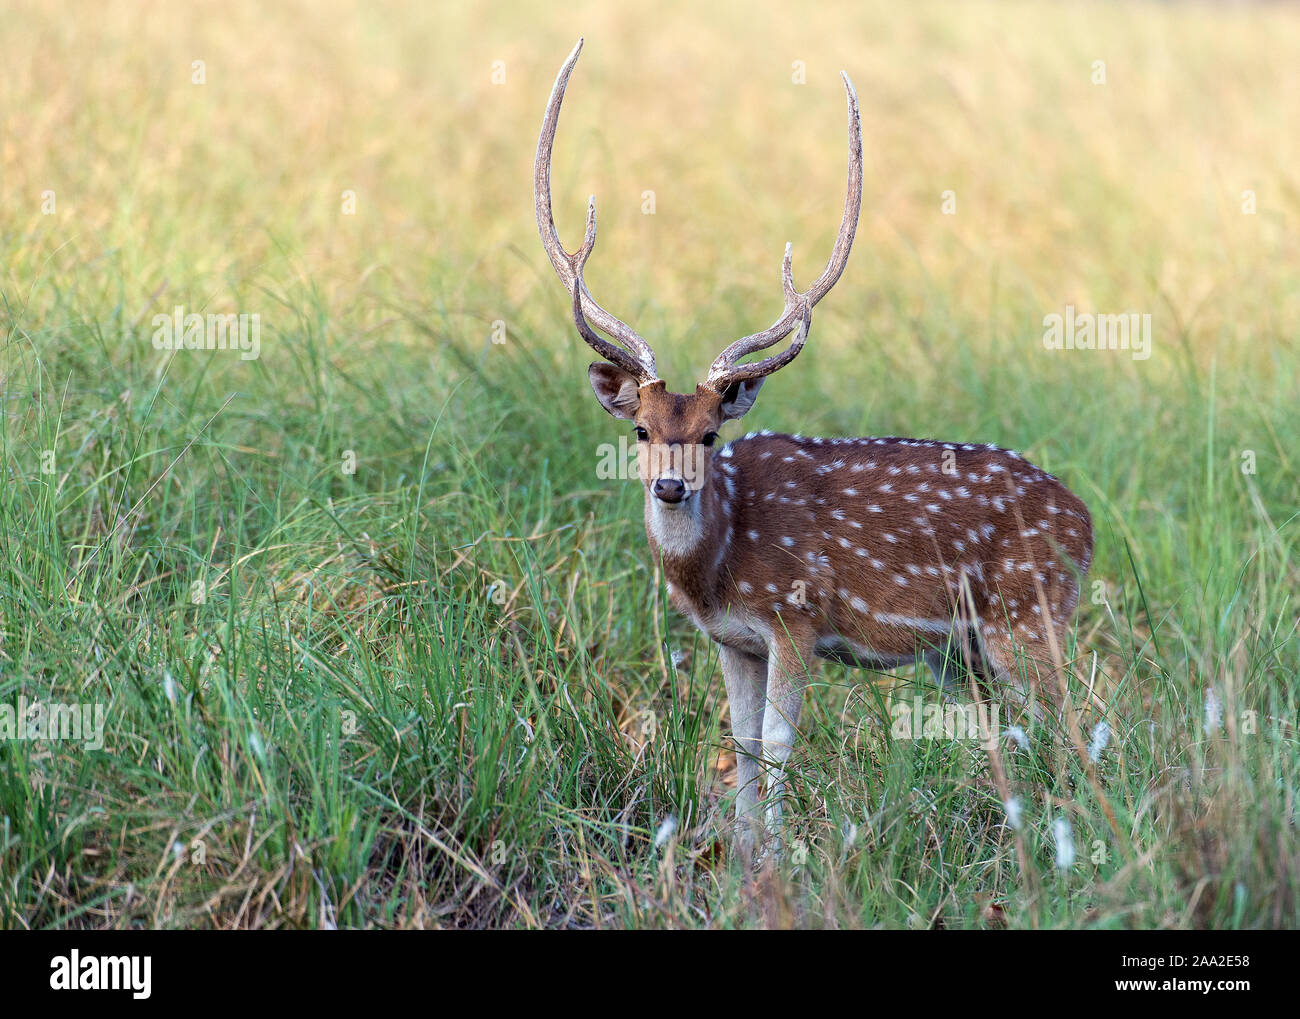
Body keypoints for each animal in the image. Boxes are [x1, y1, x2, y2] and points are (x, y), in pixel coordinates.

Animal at [534, 39, 1094, 857]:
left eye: (712, 432)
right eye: (641, 429)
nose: (671, 486)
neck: (719, 567)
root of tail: (1088, 525)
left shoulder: (794, 616)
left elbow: (775, 740)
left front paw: (774, 852)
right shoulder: (732, 640)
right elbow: (738, 738)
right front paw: (740, 852)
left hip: (1030, 613)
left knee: (1077, 719)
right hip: (963, 652)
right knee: (1007, 732)